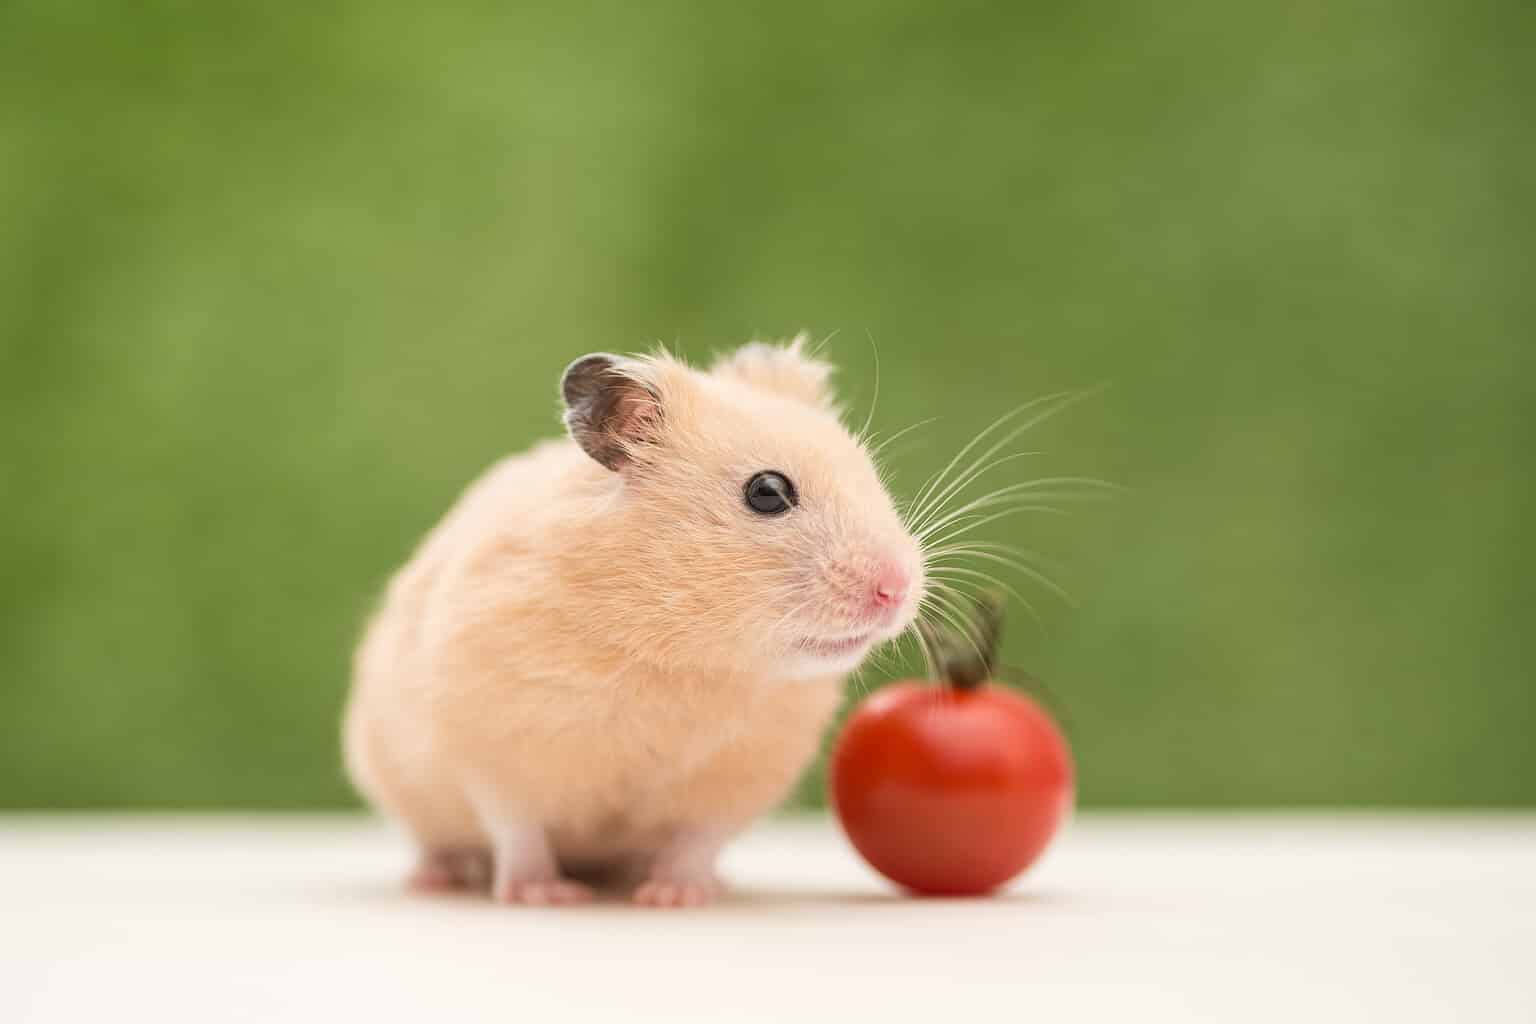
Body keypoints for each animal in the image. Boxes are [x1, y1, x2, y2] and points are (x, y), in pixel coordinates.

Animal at [343, 337, 925, 906]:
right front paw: (543, 895)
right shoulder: (495, 745)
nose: (897, 590)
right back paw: (435, 878)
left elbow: (696, 840)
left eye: (869, 474)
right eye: (767, 492)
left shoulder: (738, 776)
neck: (682, 652)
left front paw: (676, 896)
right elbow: (518, 829)